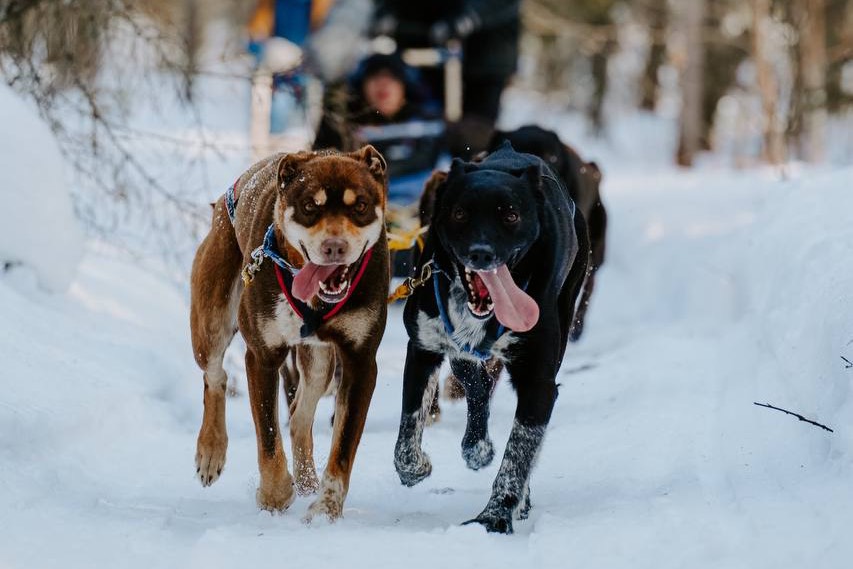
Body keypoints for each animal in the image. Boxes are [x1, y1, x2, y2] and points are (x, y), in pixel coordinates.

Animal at [190, 145, 390, 520]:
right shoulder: (262, 357)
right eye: (310, 205)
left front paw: (326, 508)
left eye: (359, 206)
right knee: (215, 376)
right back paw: (211, 450)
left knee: (299, 415)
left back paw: (308, 479)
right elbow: (268, 436)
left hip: (320, 362)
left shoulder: (359, 361)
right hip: (211, 321)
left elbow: (343, 446)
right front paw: (274, 495)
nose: (334, 246)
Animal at [392, 142, 584, 532]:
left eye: (511, 215)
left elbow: (518, 454)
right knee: (476, 385)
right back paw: (476, 446)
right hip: (457, 351)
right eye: (460, 213)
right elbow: (406, 435)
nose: (481, 252)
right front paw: (417, 468)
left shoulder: (539, 382)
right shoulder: (423, 350)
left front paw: (494, 517)